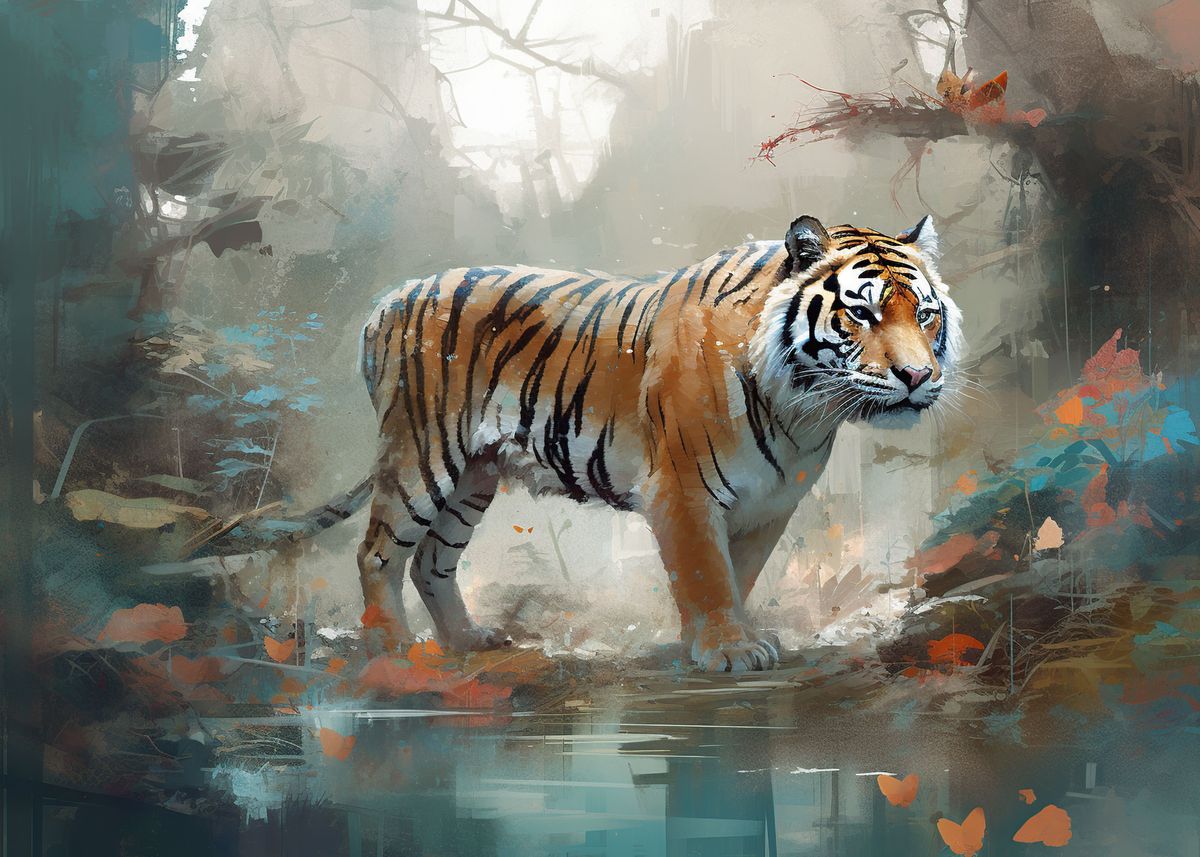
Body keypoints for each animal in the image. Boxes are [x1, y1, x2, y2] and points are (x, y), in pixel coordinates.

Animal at [353, 214, 962, 671]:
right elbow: (707, 573)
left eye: (926, 314)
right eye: (861, 312)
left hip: (475, 476)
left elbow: (738, 575)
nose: (917, 376)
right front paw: (729, 650)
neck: (802, 409)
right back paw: (394, 649)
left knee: (431, 560)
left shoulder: (770, 504)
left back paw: (467, 641)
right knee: (377, 553)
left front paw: (723, 638)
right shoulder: (683, 491)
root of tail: (386, 302)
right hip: (422, 456)